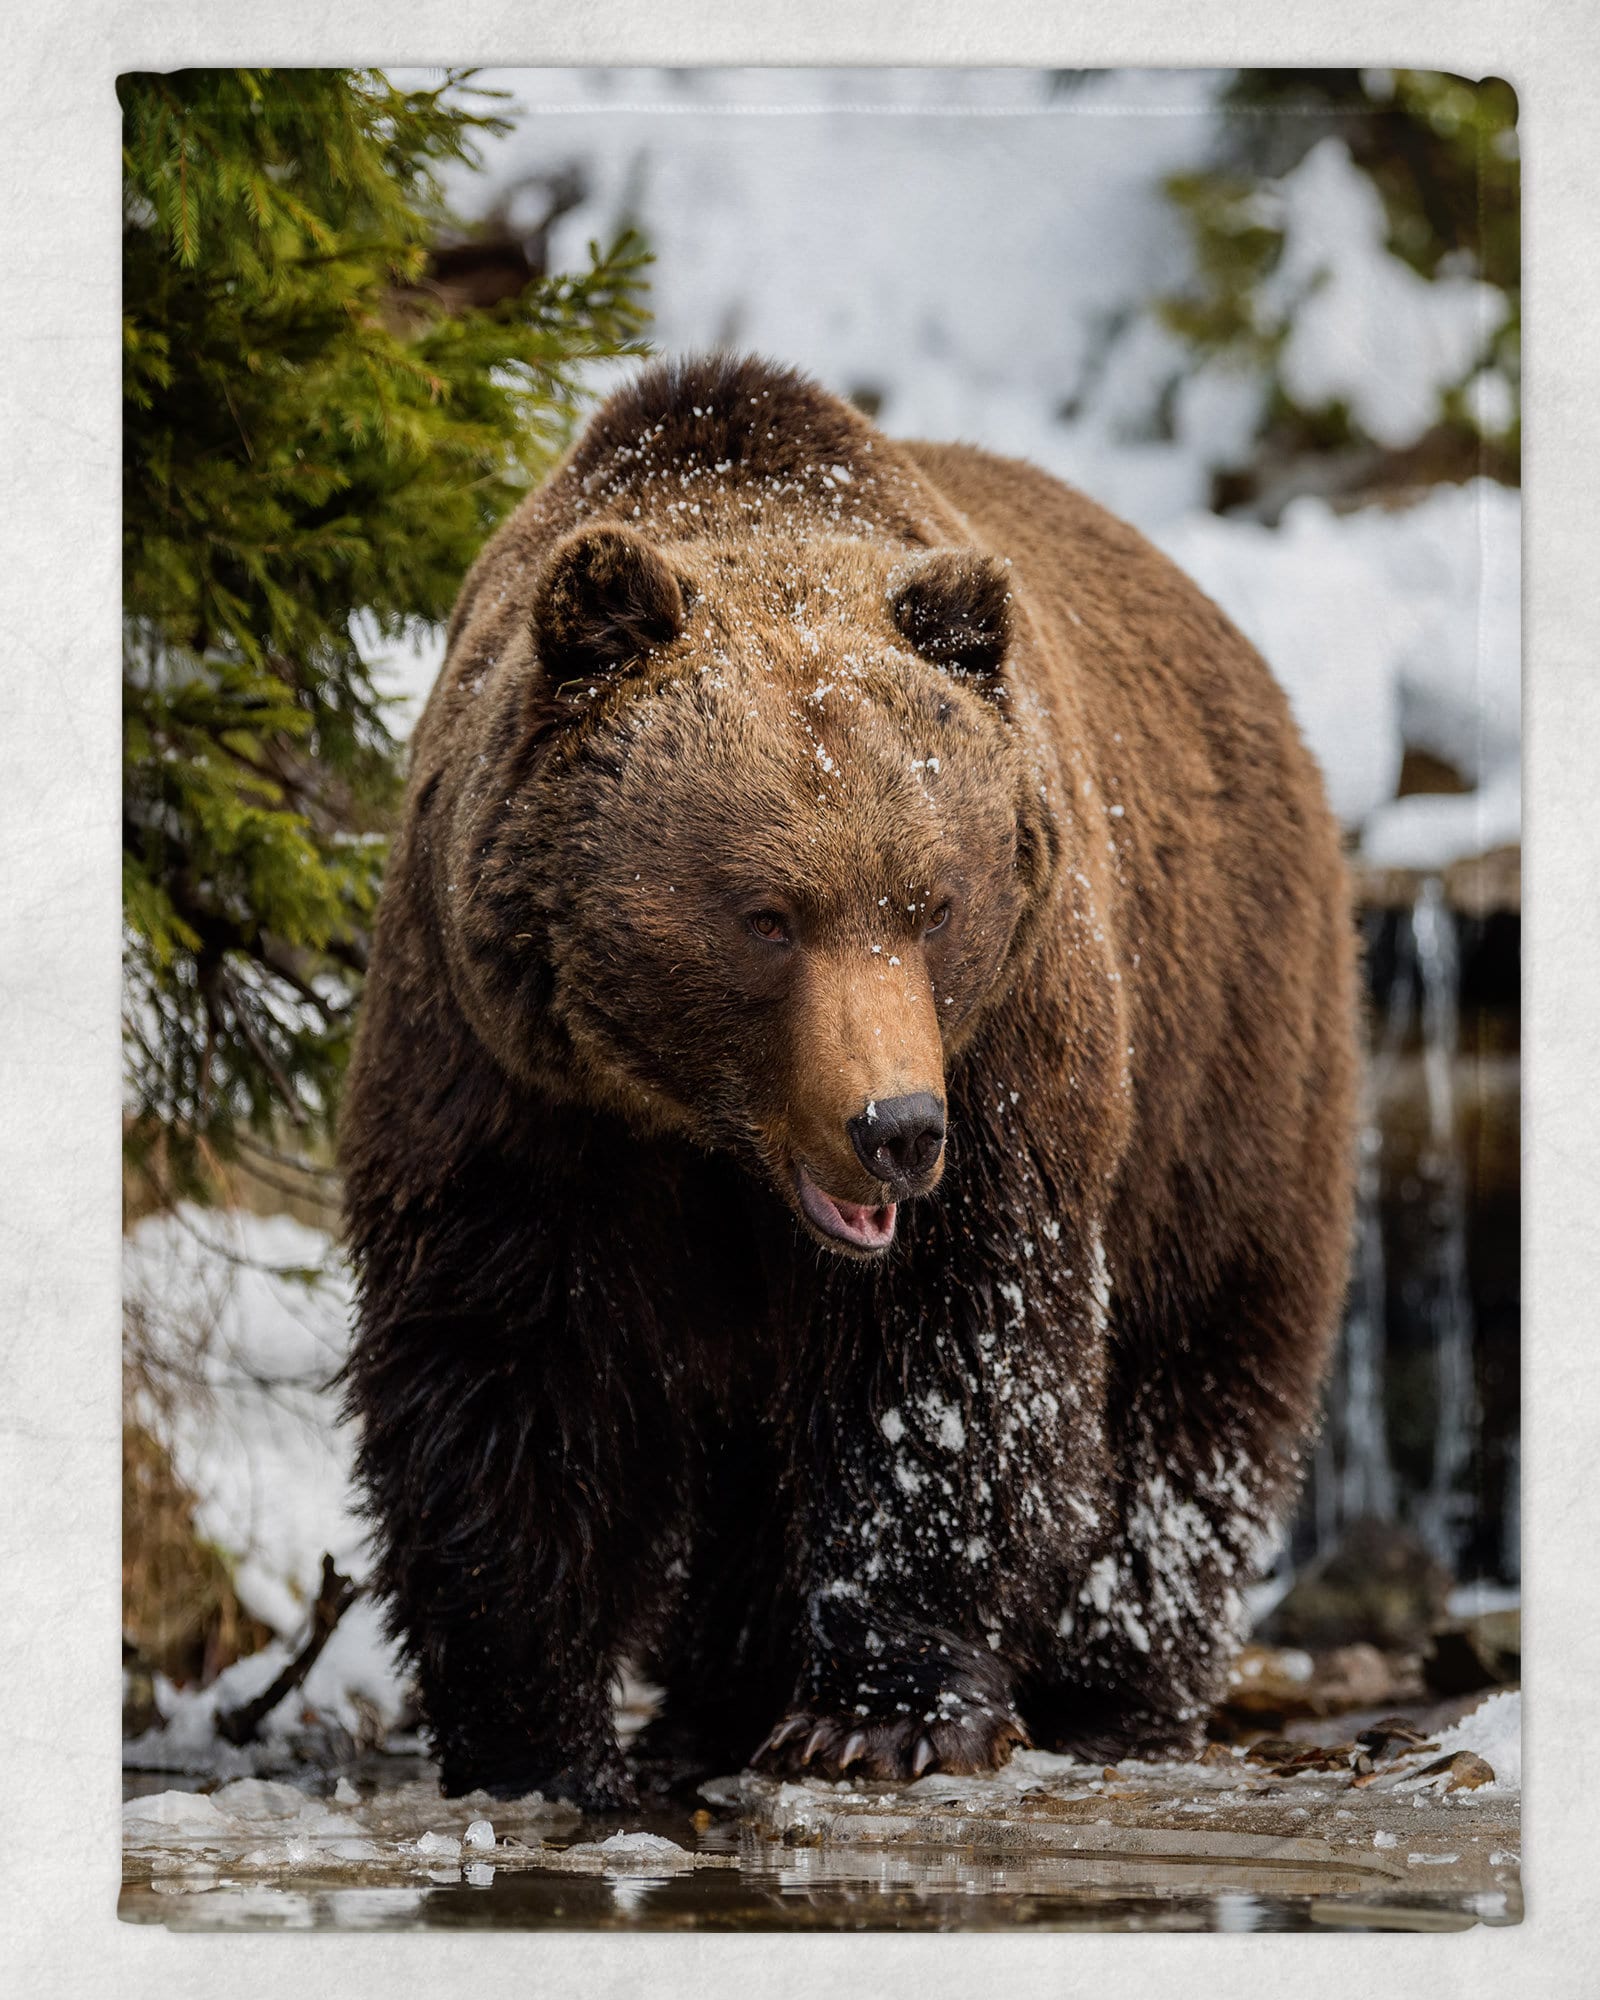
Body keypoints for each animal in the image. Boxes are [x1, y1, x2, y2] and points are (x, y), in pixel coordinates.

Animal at [339, 352, 1359, 1810]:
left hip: (1226, 1047)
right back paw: (717, 1695)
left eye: (930, 901)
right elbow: (507, 1362)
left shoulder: (1006, 1053)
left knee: (1196, 1366)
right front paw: (537, 1739)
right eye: (768, 915)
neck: (709, 1133)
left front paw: (883, 1714)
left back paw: (1111, 1687)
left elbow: (948, 1361)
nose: (894, 1129)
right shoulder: (510, 1078)